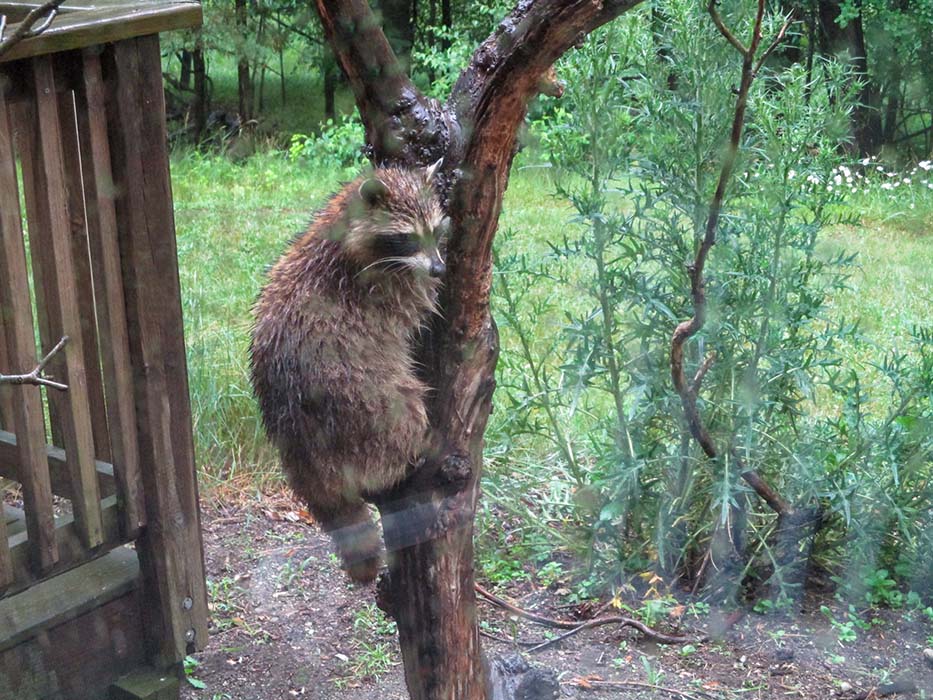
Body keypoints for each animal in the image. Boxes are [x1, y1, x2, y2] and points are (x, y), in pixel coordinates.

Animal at [250, 162, 447, 582]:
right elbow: (421, 302)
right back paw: (412, 450)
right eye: (407, 238)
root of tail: (302, 449)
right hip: (360, 402)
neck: (342, 222)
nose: (439, 268)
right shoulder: (379, 285)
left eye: (436, 231)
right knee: (401, 410)